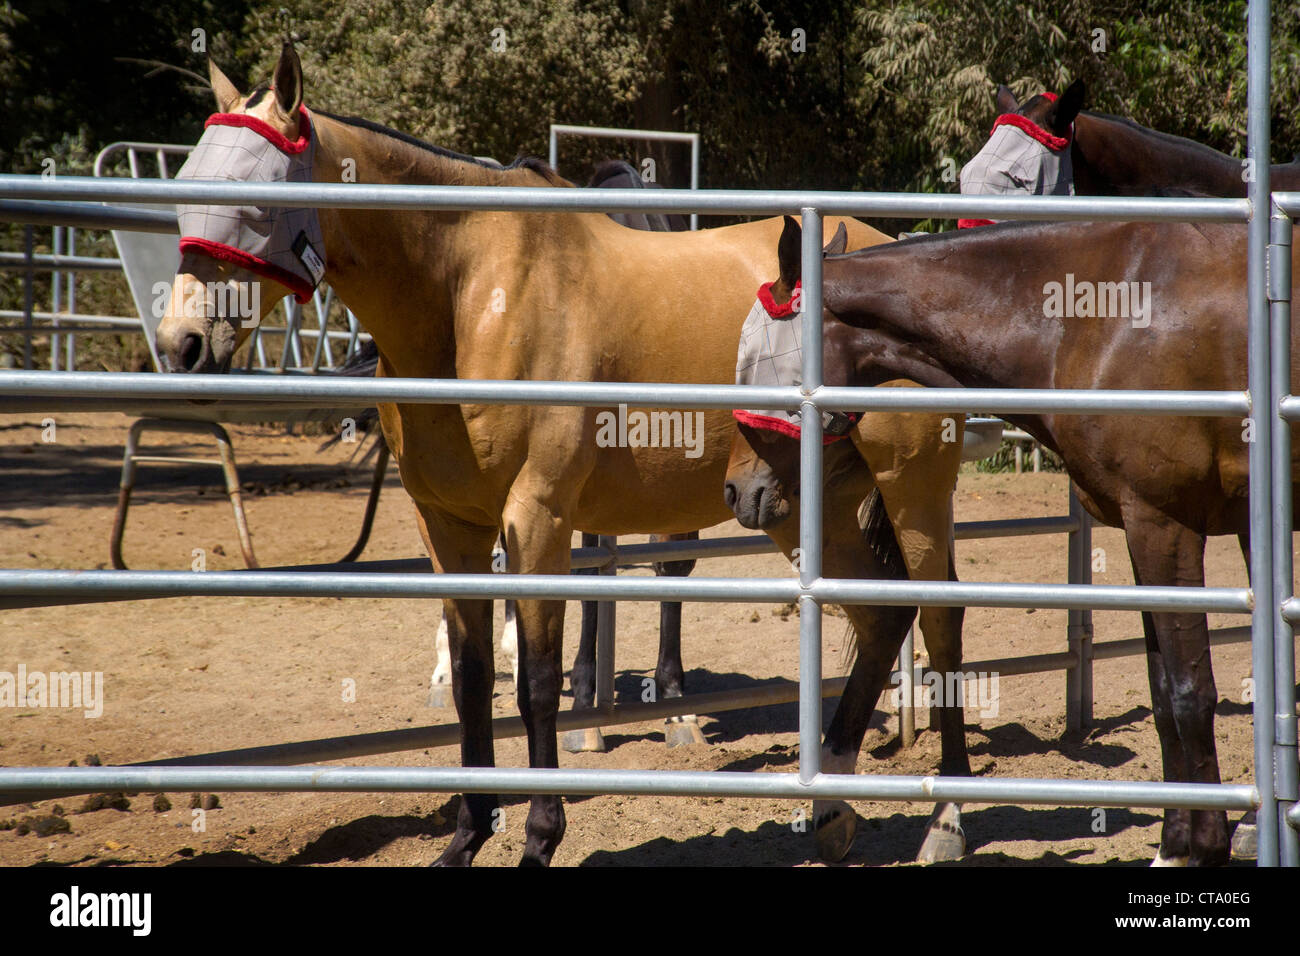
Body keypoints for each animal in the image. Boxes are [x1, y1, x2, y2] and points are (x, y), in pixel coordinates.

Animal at [155, 42, 962, 866]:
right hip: (799, 501)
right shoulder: (450, 526)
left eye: (255, 202)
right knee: (880, 618)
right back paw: (832, 813)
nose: (180, 343)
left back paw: (944, 822)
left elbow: (536, 683)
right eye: (185, 195)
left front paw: (540, 837)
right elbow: (474, 679)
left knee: (940, 623)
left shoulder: (537, 516)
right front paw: (466, 837)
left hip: (913, 489)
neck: (473, 293)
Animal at [751, 215, 1299, 866]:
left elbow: (1192, 693)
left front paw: (1204, 848)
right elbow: (1164, 692)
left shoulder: (1166, 525)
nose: (745, 490)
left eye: (756, 356)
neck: (1102, 321)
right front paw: (1175, 846)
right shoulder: (1143, 529)